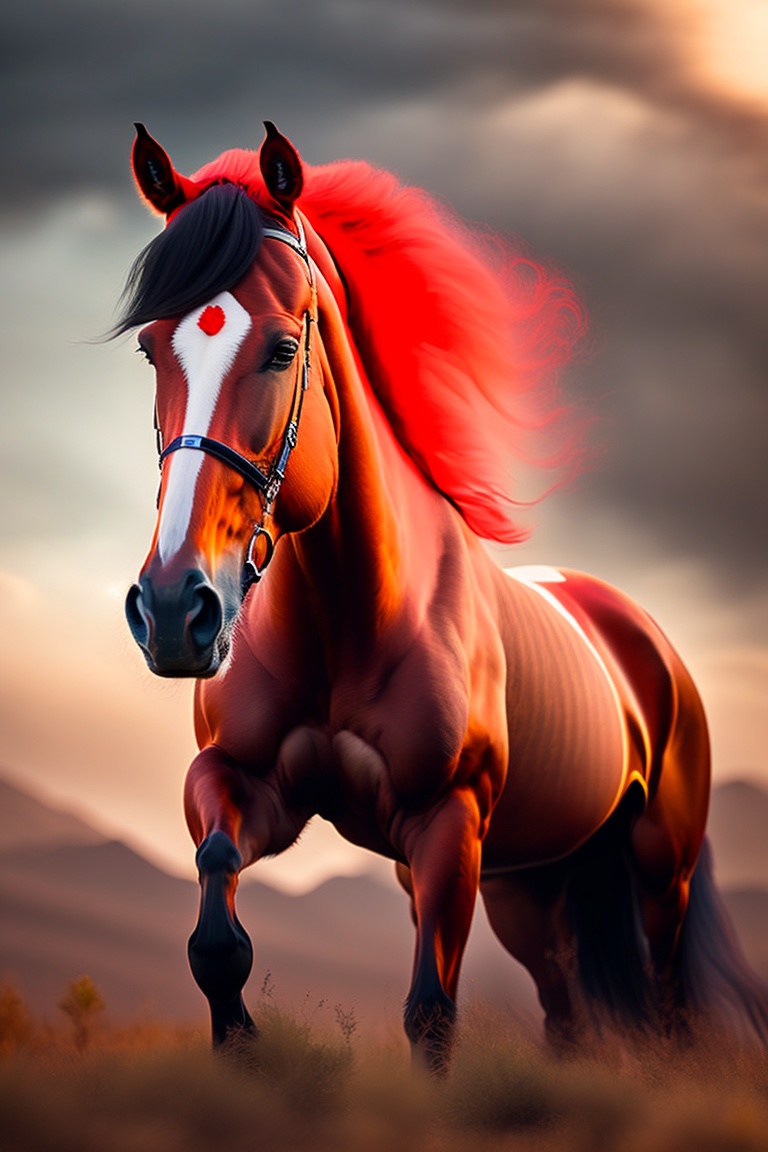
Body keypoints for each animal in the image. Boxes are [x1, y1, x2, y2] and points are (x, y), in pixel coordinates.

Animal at [115, 121, 768, 1069]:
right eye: (150, 347)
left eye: (282, 348)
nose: (174, 611)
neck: (354, 614)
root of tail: (644, 634)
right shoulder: (241, 781)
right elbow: (216, 936)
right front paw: (240, 1047)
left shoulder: (445, 824)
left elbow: (430, 1013)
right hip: (530, 889)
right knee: (568, 1015)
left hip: (658, 872)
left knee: (671, 1006)